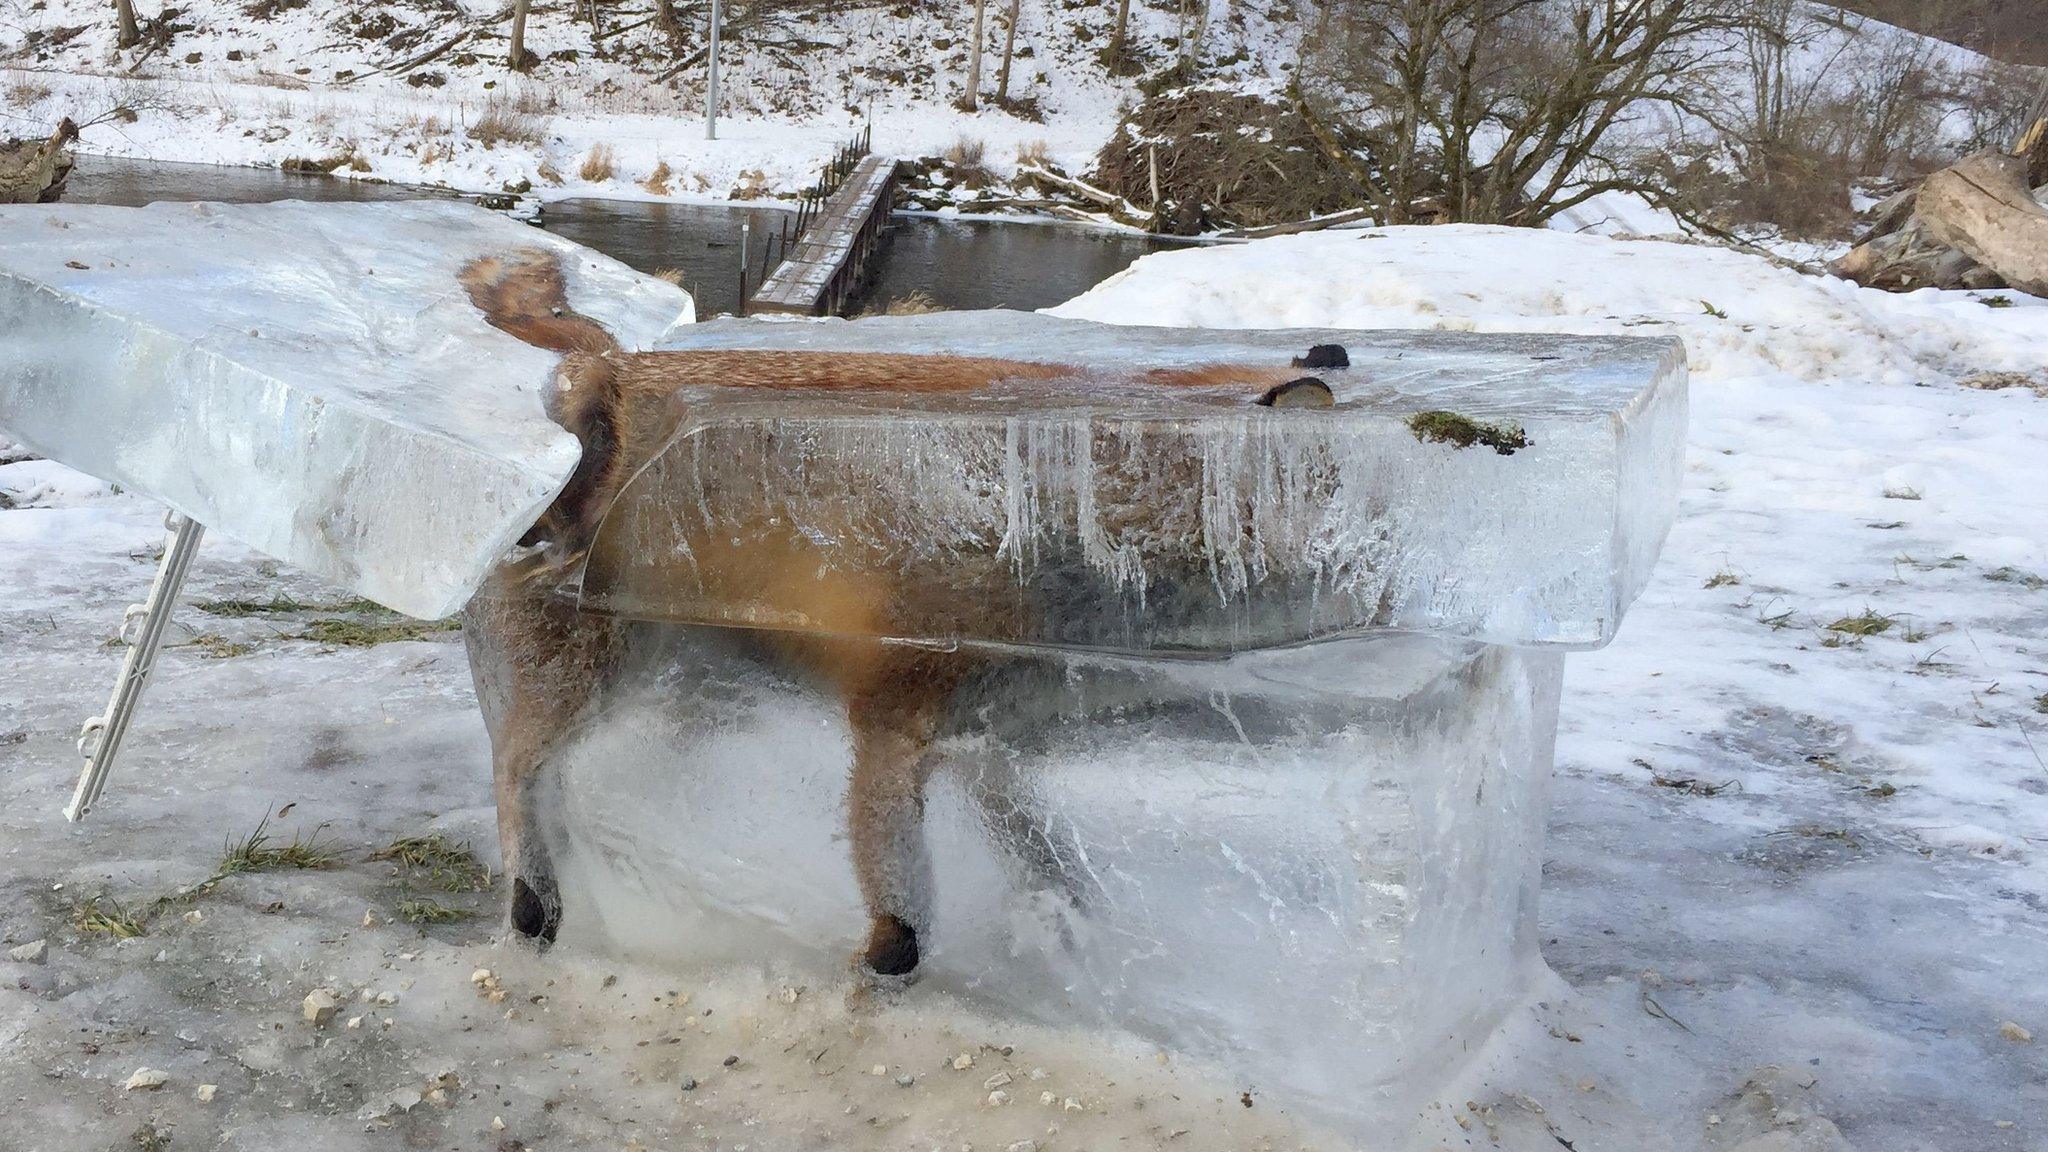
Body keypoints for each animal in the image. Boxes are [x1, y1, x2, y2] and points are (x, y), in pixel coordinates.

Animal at [458, 249, 1344, 976]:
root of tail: (614, 368)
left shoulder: (993, 738)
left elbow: (1046, 858)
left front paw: (1063, 930)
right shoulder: (896, 711)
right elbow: (903, 907)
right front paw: (887, 968)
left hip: (690, 691)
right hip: (593, 673)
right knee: (516, 767)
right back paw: (535, 903)